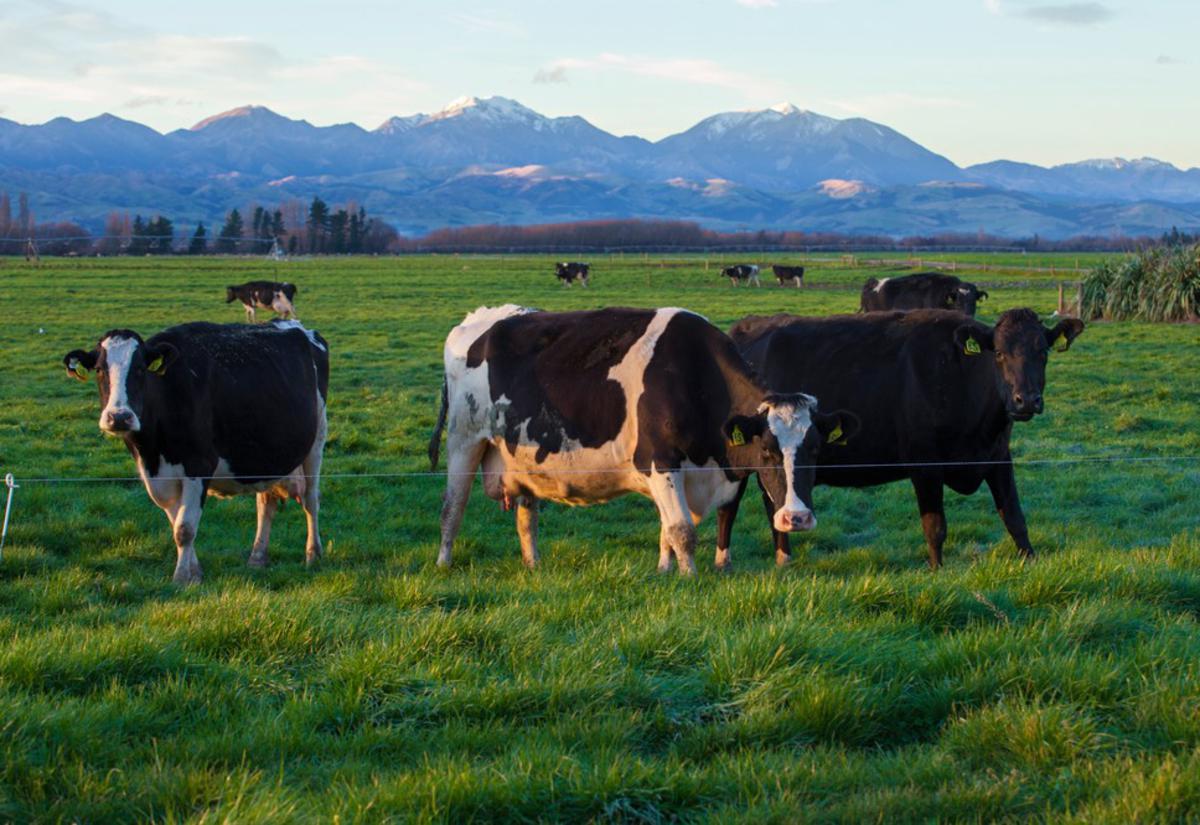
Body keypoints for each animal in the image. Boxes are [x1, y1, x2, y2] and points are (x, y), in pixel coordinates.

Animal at [61, 320, 330, 585]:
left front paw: (181, 579)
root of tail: (293, 324)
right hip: (266, 458)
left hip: (316, 442)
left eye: (139, 369)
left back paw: (313, 554)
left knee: (311, 500)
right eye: (99, 369)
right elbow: (176, 523)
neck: (153, 450)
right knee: (266, 503)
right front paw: (195, 573)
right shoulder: (158, 476)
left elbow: (185, 528)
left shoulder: (198, 466)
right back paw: (257, 557)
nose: (119, 417)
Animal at [427, 305, 859, 574]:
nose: (797, 518)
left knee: (525, 517)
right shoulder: (659, 460)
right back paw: (444, 563)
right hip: (464, 439)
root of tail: (481, 318)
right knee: (452, 508)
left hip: (522, 457)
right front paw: (689, 578)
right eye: (768, 451)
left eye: (816, 449)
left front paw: (664, 571)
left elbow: (667, 529)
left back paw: (533, 564)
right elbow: (682, 530)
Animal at [721, 308, 1084, 568]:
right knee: (731, 506)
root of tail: (744, 328)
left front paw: (1031, 563)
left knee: (774, 503)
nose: (1026, 400)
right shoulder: (924, 464)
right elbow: (935, 528)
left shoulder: (998, 457)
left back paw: (784, 560)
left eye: (1043, 352)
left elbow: (1015, 518)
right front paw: (937, 573)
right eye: (999, 354)